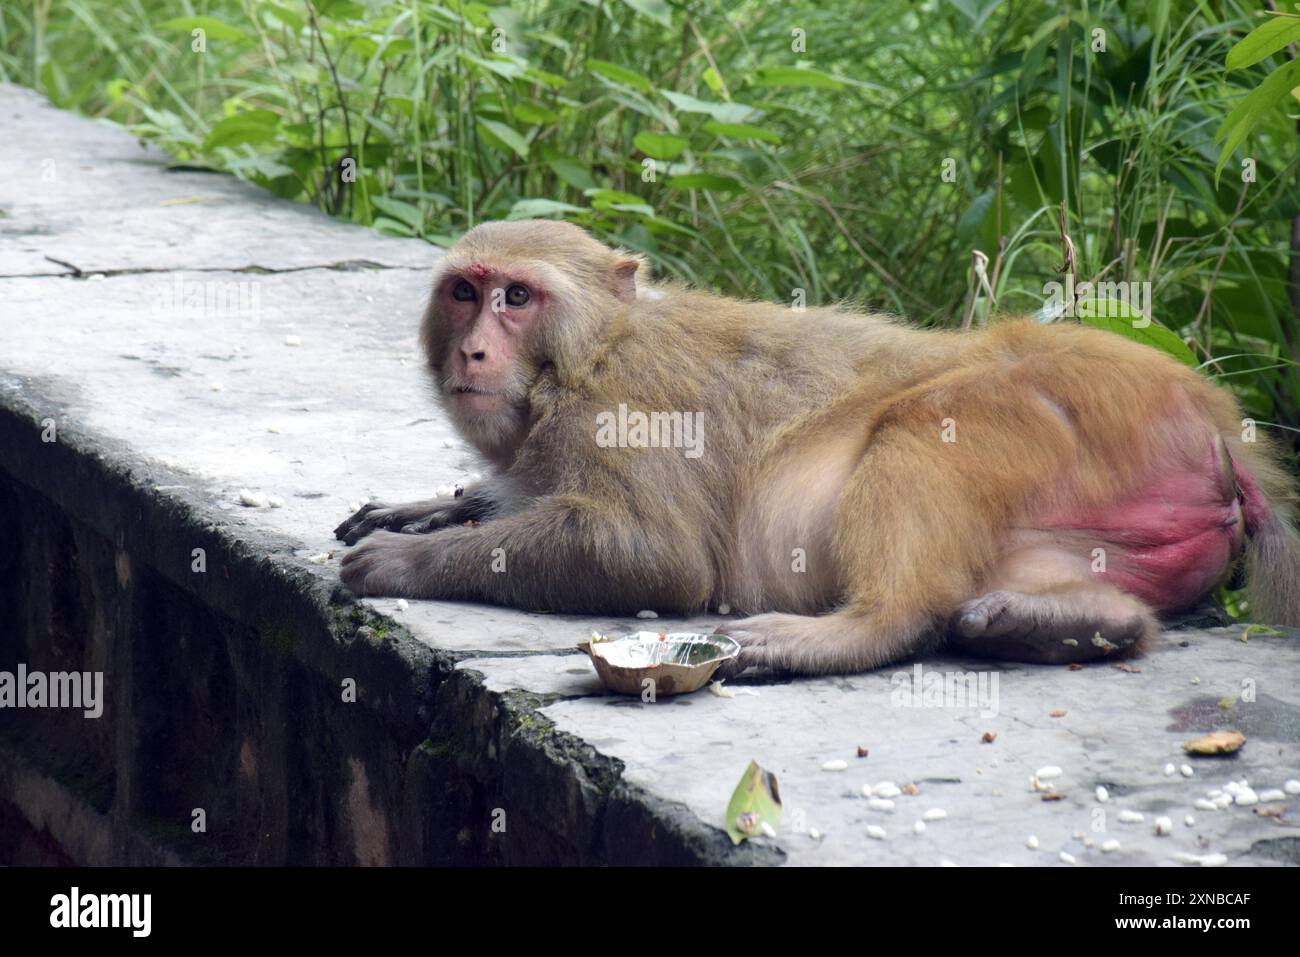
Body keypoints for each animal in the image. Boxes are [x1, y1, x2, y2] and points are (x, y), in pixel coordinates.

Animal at [335, 219, 1300, 676]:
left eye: (518, 298)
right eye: (465, 292)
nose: (473, 352)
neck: (585, 356)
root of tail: (1219, 426)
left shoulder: (623, 407)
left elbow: (655, 557)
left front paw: (408, 561)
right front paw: (439, 507)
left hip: (1073, 408)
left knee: (926, 426)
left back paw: (853, 631)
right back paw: (1066, 626)